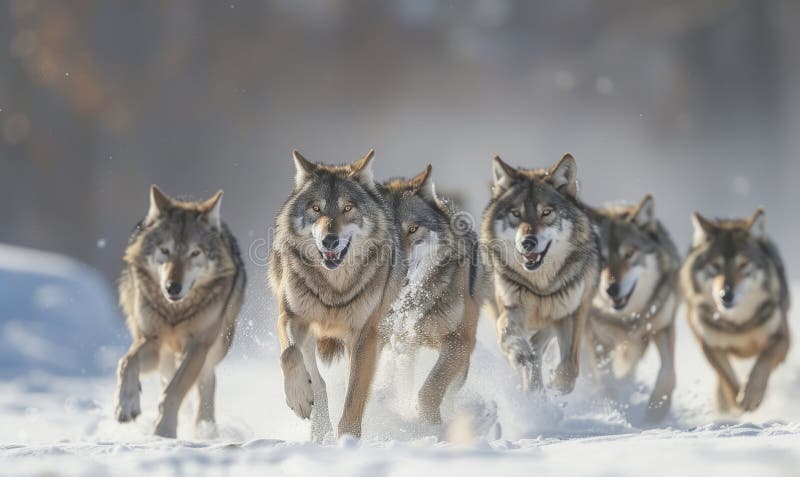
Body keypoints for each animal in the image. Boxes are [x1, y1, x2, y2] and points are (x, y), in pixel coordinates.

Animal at [115, 186, 246, 438]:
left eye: (195, 253)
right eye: (165, 250)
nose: (172, 287)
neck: (176, 312)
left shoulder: (198, 346)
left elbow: (176, 389)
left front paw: (164, 430)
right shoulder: (151, 340)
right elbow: (127, 361)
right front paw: (126, 405)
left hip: (213, 349)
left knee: (207, 382)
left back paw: (205, 430)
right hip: (165, 355)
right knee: (164, 376)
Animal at [268, 150, 405, 441]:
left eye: (348, 208)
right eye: (316, 209)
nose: (329, 240)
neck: (334, 289)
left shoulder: (365, 335)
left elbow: (354, 396)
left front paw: (348, 441)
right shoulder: (290, 317)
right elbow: (289, 355)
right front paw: (298, 398)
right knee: (317, 381)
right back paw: (318, 426)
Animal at [481, 154, 599, 394]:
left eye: (546, 212)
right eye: (516, 213)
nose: (528, 242)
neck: (540, 288)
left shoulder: (572, 312)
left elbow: (569, 367)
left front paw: (558, 385)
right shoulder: (510, 309)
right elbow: (507, 332)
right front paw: (518, 352)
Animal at [586, 195, 680, 421]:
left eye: (629, 254)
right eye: (602, 259)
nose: (611, 289)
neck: (628, 317)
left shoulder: (662, 327)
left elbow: (668, 371)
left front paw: (656, 411)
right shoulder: (598, 341)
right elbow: (606, 380)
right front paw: (616, 411)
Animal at [681, 209, 790, 412]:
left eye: (743, 265)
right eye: (715, 266)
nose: (726, 295)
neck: (738, 324)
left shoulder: (782, 339)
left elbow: (763, 363)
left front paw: (751, 396)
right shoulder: (709, 345)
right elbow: (727, 378)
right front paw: (734, 402)